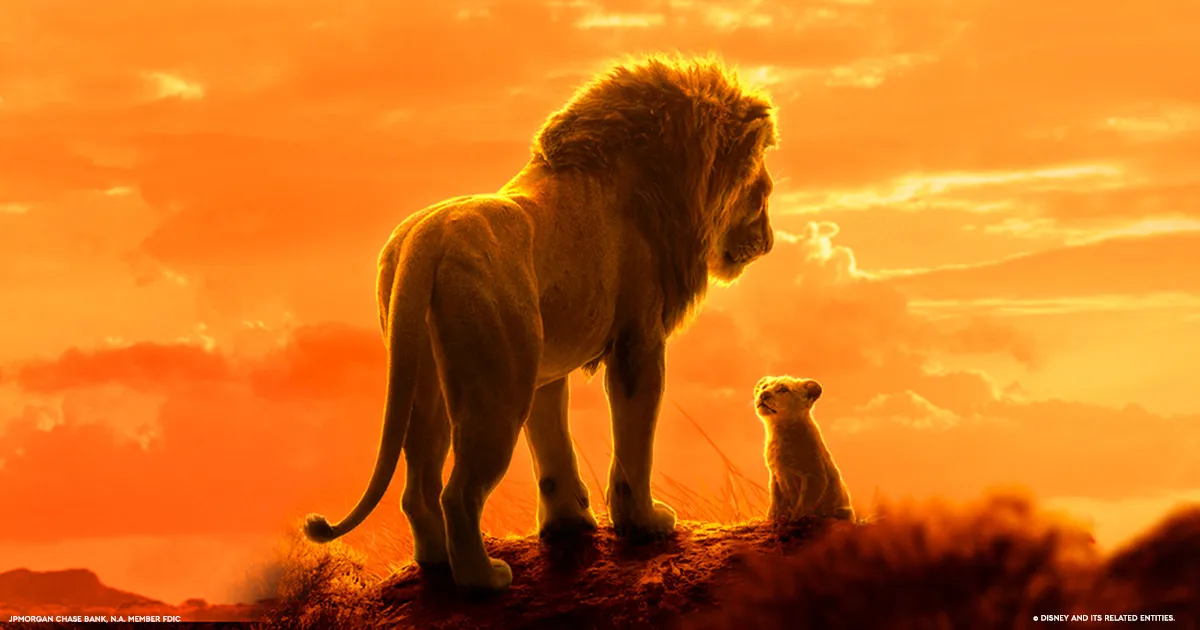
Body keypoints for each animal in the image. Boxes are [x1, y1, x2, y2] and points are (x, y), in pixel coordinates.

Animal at [302, 54, 780, 592]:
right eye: (762, 192)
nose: (768, 242)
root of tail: (426, 239)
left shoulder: (545, 366)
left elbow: (552, 446)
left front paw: (567, 524)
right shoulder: (638, 341)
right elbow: (633, 442)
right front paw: (644, 523)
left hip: (428, 383)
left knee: (419, 488)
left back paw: (436, 564)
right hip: (496, 390)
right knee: (459, 493)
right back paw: (483, 579)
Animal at [753, 375, 855, 523]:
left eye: (783, 389)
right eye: (764, 387)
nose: (763, 394)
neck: (778, 431)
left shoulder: (814, 475)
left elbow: (803, 503)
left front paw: (794, 521)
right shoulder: (775, 474)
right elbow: (775, 500)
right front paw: (772, 519)